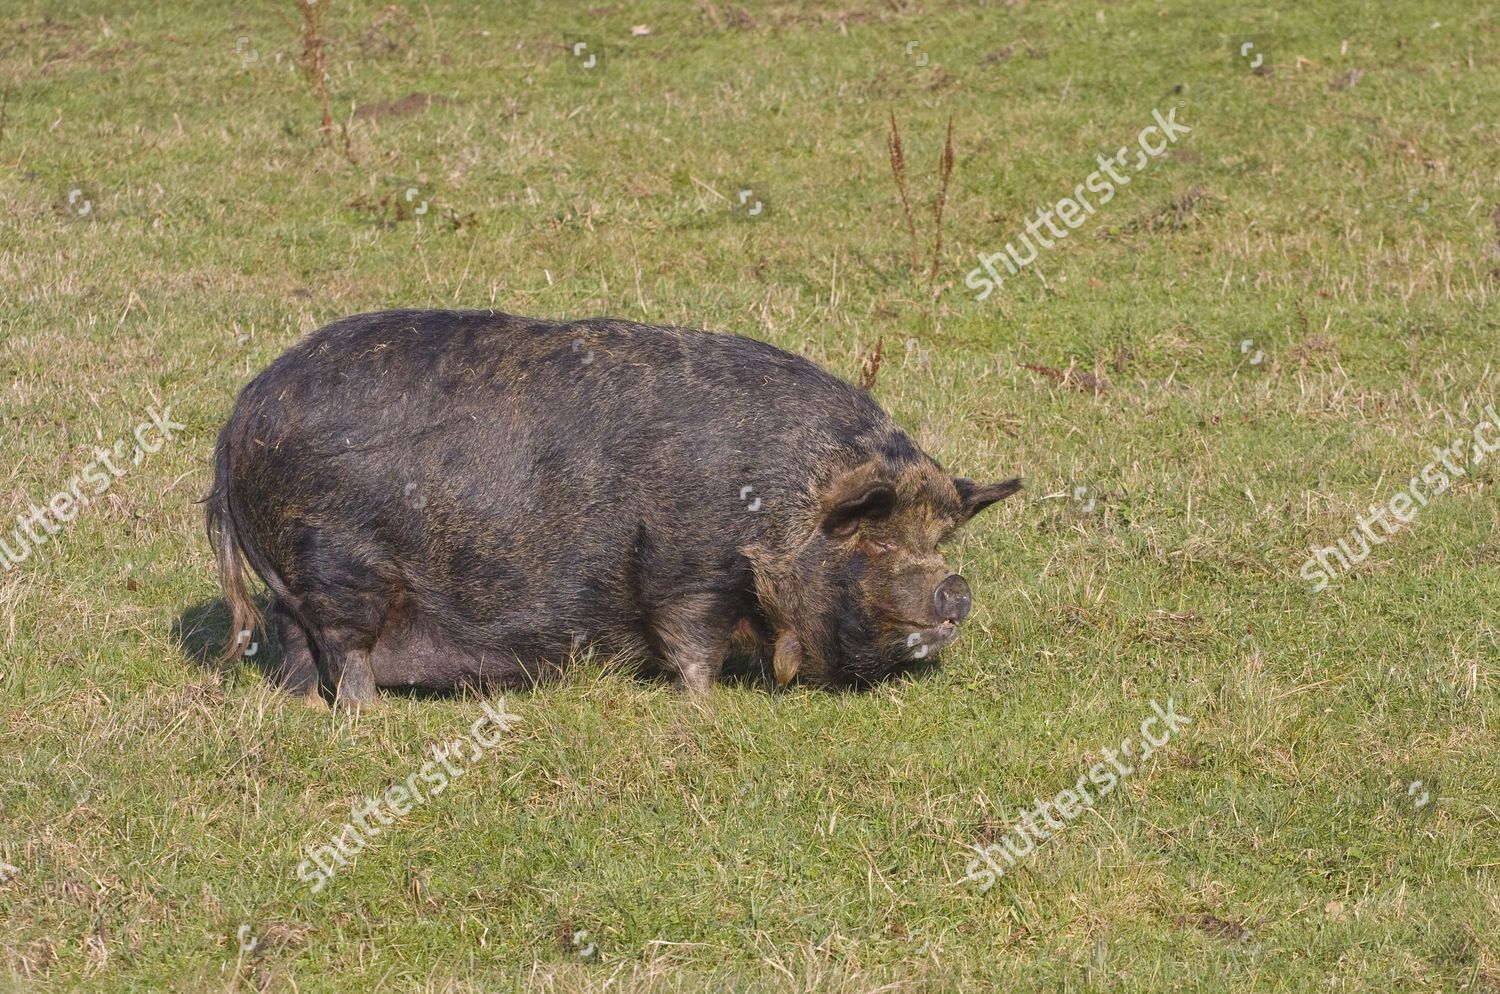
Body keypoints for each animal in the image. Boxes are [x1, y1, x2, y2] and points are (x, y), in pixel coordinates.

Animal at [205, 310, 1020, 705]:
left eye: (939, 541)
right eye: (875, 542)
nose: (956, 589)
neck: (778, 507)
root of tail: (239, 418)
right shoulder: (690, 567)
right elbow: (691, 644)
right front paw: (704, 709)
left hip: (296, 579)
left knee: (293, 640)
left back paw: (303, 709)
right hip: (338, 565)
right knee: (345, 647)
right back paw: (362, 718)